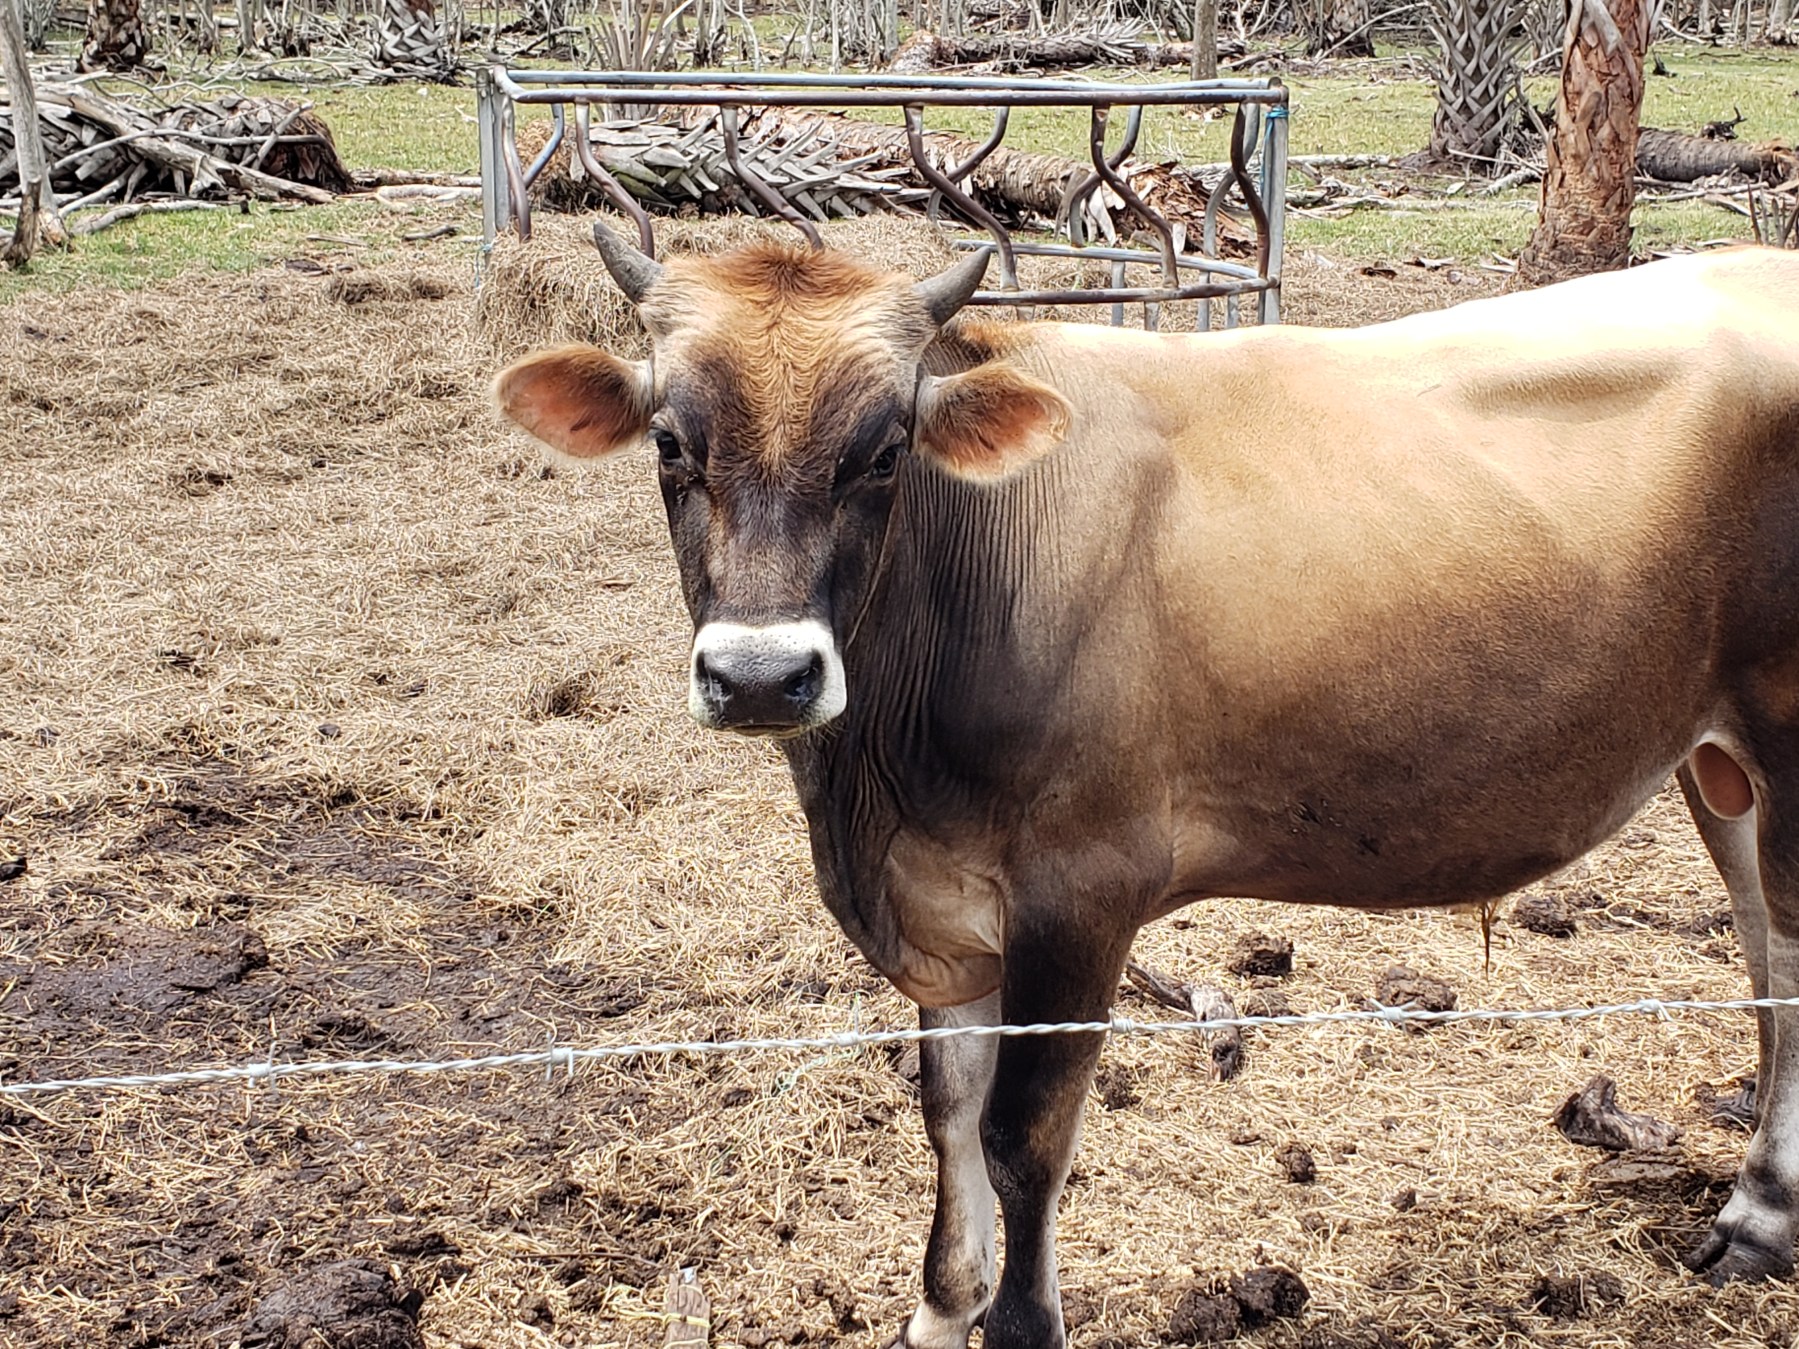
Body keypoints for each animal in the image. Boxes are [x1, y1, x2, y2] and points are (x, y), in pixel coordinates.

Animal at [494, 224, 1799, 1349]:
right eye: (670, 441)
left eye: (883, 448)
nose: (761, 674)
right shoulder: (948, 900)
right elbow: (946, 1106)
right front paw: (940, 1305)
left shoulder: (1080, 892)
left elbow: (1022, 1133)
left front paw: (1021, 1324)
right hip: (1716, 762)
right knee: (1759, 953)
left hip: (1785, 725)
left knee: (1785, 954)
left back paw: (1755, 1219)